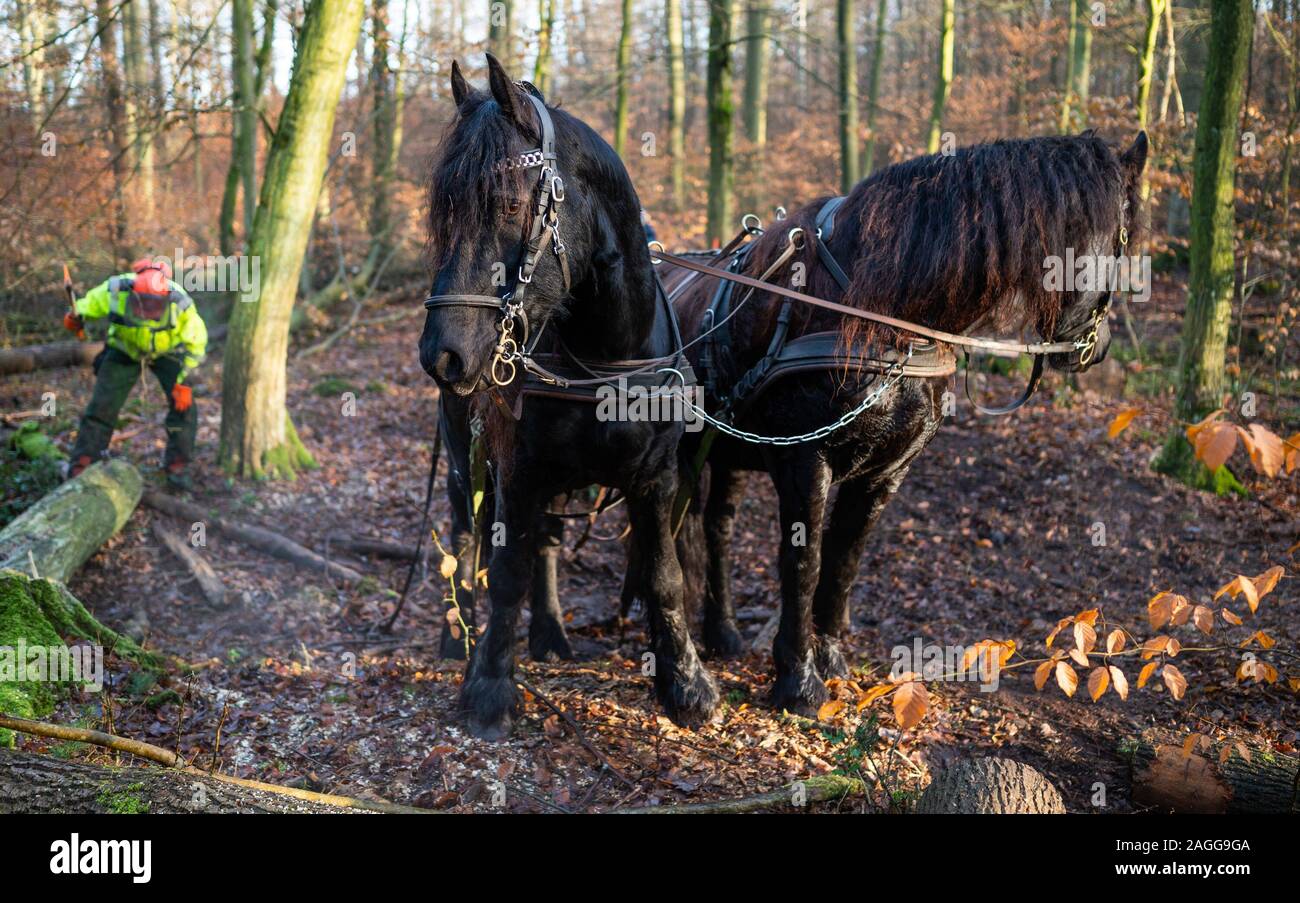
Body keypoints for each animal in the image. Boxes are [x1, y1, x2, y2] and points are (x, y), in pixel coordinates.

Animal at [418, 54, 719, 739]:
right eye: (442, 215)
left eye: (507, 204)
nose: (442, 354)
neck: (605, 357)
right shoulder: (519, 470)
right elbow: (506, 574)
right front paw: (489, 684)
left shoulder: (657, 477)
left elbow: (663, 576)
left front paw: (684, 683)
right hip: (465, 456)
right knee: (467, 532)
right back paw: (457, 632)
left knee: (550, 541)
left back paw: (551, 630)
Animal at [664, 131, 1148, 714]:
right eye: (1124, 244)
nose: (1098, 348)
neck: (874, 312)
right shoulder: (805, 461)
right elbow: (804, 564)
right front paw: (798, 680)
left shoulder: (885, 473)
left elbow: (844, 564)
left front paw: (830, 661)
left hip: (728, 453)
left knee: (716, 527)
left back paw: (722, 631)